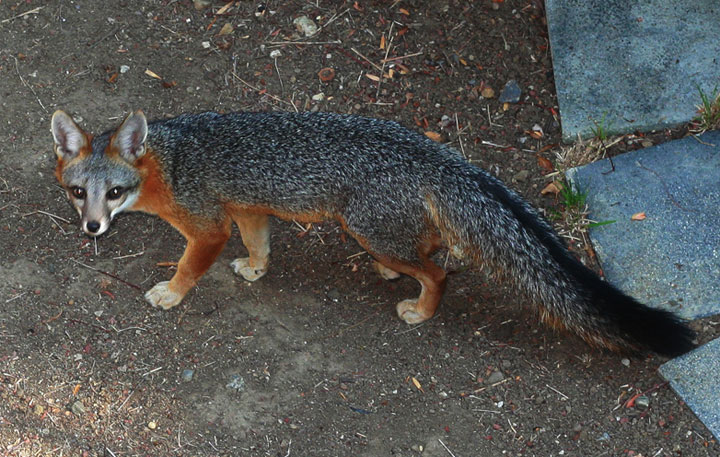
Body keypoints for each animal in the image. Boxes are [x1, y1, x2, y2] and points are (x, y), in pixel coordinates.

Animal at [50, 109, 695, 356]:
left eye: (114, 193)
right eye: (78, 192)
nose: (92, 227)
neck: (168, 161)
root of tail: (438, 156)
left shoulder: (208, 224)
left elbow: (190, 264)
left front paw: (171, 293)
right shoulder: (250, 209)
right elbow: (260, 244)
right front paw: (257, 269)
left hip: (364, 228)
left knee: (440, 270)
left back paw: (421, 308)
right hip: (380, 229)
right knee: (430, 246)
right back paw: (395, 273)